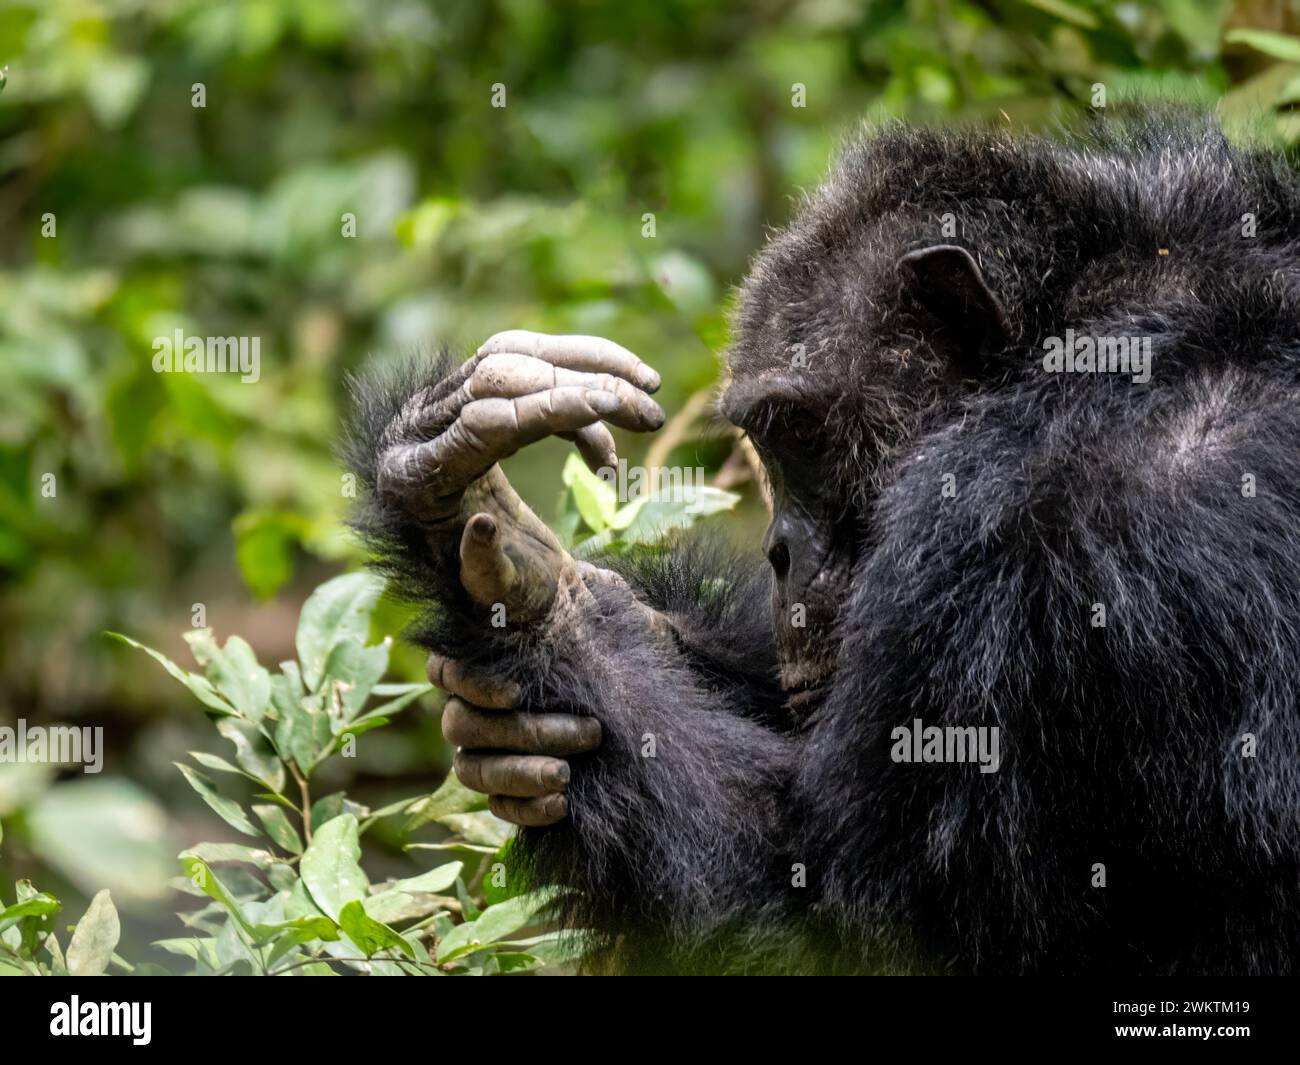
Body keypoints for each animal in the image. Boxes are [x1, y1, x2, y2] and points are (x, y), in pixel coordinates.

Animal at [345, 110, 1300, 974]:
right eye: (768, 439)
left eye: (799, 432)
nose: (783, 551)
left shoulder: (1023, 526)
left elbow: (841, 903)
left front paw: (537, 595)